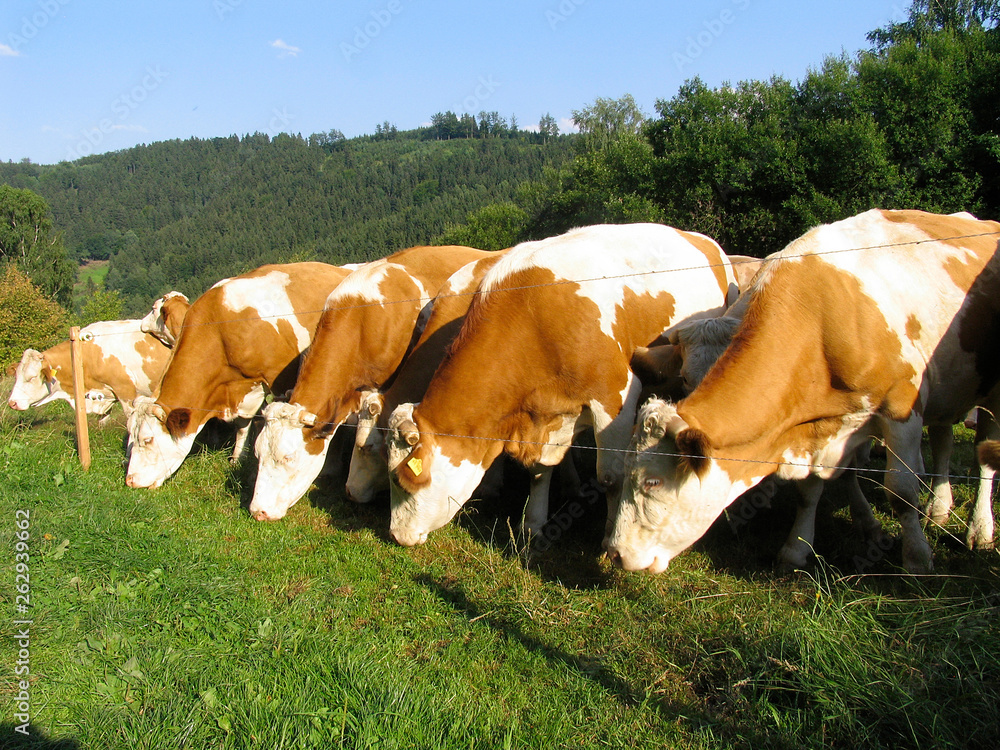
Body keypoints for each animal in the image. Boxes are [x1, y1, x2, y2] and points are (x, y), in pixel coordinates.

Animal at [124, 262, 353, 489]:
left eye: (147, 439)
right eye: (130, 437)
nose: (130, 480)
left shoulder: (282, 379)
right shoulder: (242, 388)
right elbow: (242, 424)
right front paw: (237, 457)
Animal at [383, 222, 739, 547]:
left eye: (400, 480)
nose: (397, 536)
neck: (533, 319)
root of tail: (700, 238)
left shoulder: (616, 395)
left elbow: (612, 476)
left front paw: (609, 535)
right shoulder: (546, 413)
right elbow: (539, 470)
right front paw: (534, 524)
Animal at [607, 209, 1000, 575]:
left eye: (653, 482)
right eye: (686, 378)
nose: (615, 552)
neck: (822, 323)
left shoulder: (901, 409)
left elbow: (901, 492)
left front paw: (916, 557)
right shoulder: (814, 426)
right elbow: (808, 493)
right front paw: (796, 549)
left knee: (983, 456)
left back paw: (979, 529)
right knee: (944, 439)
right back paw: (940, 506)